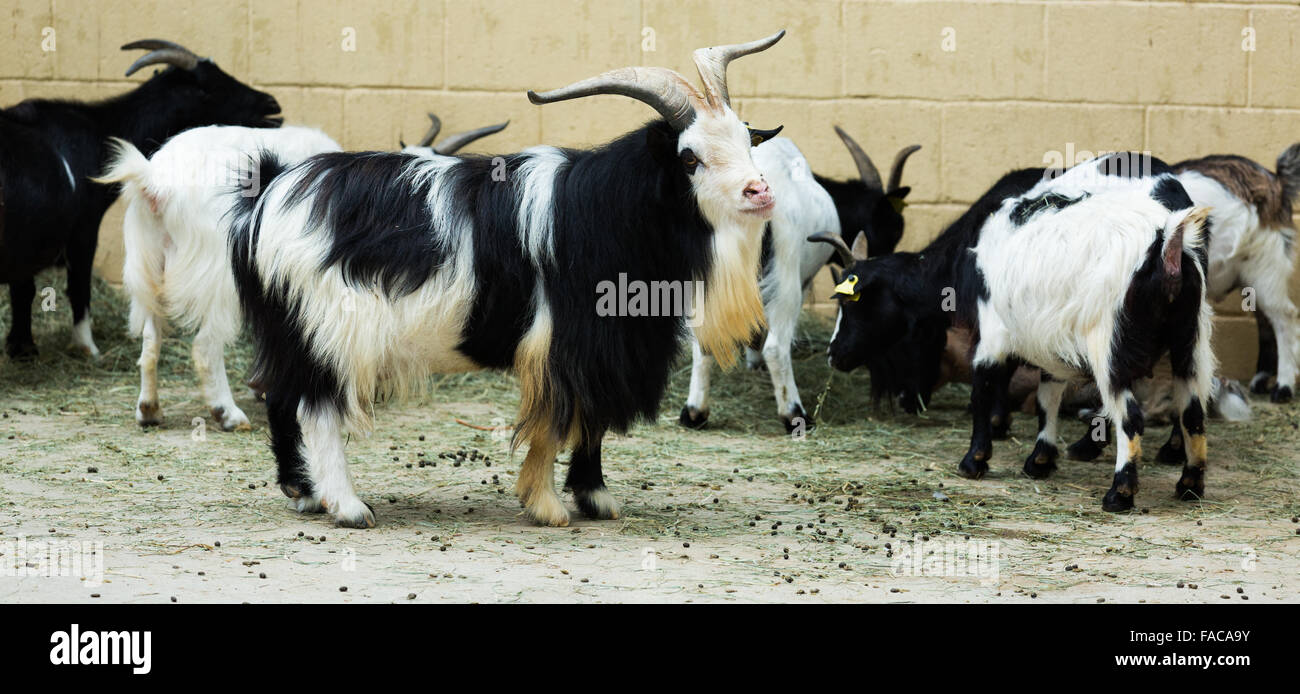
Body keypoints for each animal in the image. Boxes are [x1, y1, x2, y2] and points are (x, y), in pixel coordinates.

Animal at [0, 39, 282, 360]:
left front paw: (22, 347)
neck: (99, 131)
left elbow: (23, 291)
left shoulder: (30, 242)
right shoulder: (83, 232)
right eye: (207, 89)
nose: (272, 105)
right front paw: (88, 348)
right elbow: (78, 288)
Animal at [95, 116, 508, 432]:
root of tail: (156, 184)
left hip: (148, 263)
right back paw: (229, 415)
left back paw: (149, 410)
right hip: (218, 273)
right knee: (205, 346)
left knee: (151, 337)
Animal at [230, 32, 787, 528]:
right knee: (317, 410)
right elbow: (557, 421)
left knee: (281, 398)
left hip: (291, 334)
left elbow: (592, 420)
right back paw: (347, 507)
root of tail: (269, 195)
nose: (759, 191)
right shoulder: (565, 342)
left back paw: (303, 492)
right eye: (689, 157)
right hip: (328, 332)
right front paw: (547, 506)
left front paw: (595, 498)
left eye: (747, 139)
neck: (603, 210)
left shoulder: (602, 345)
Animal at [679, 129, 920, 432]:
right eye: (892, 227)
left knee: (703, 340)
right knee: (776, 347)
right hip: (787, 275)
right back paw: (795, 414)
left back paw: (694, 412)